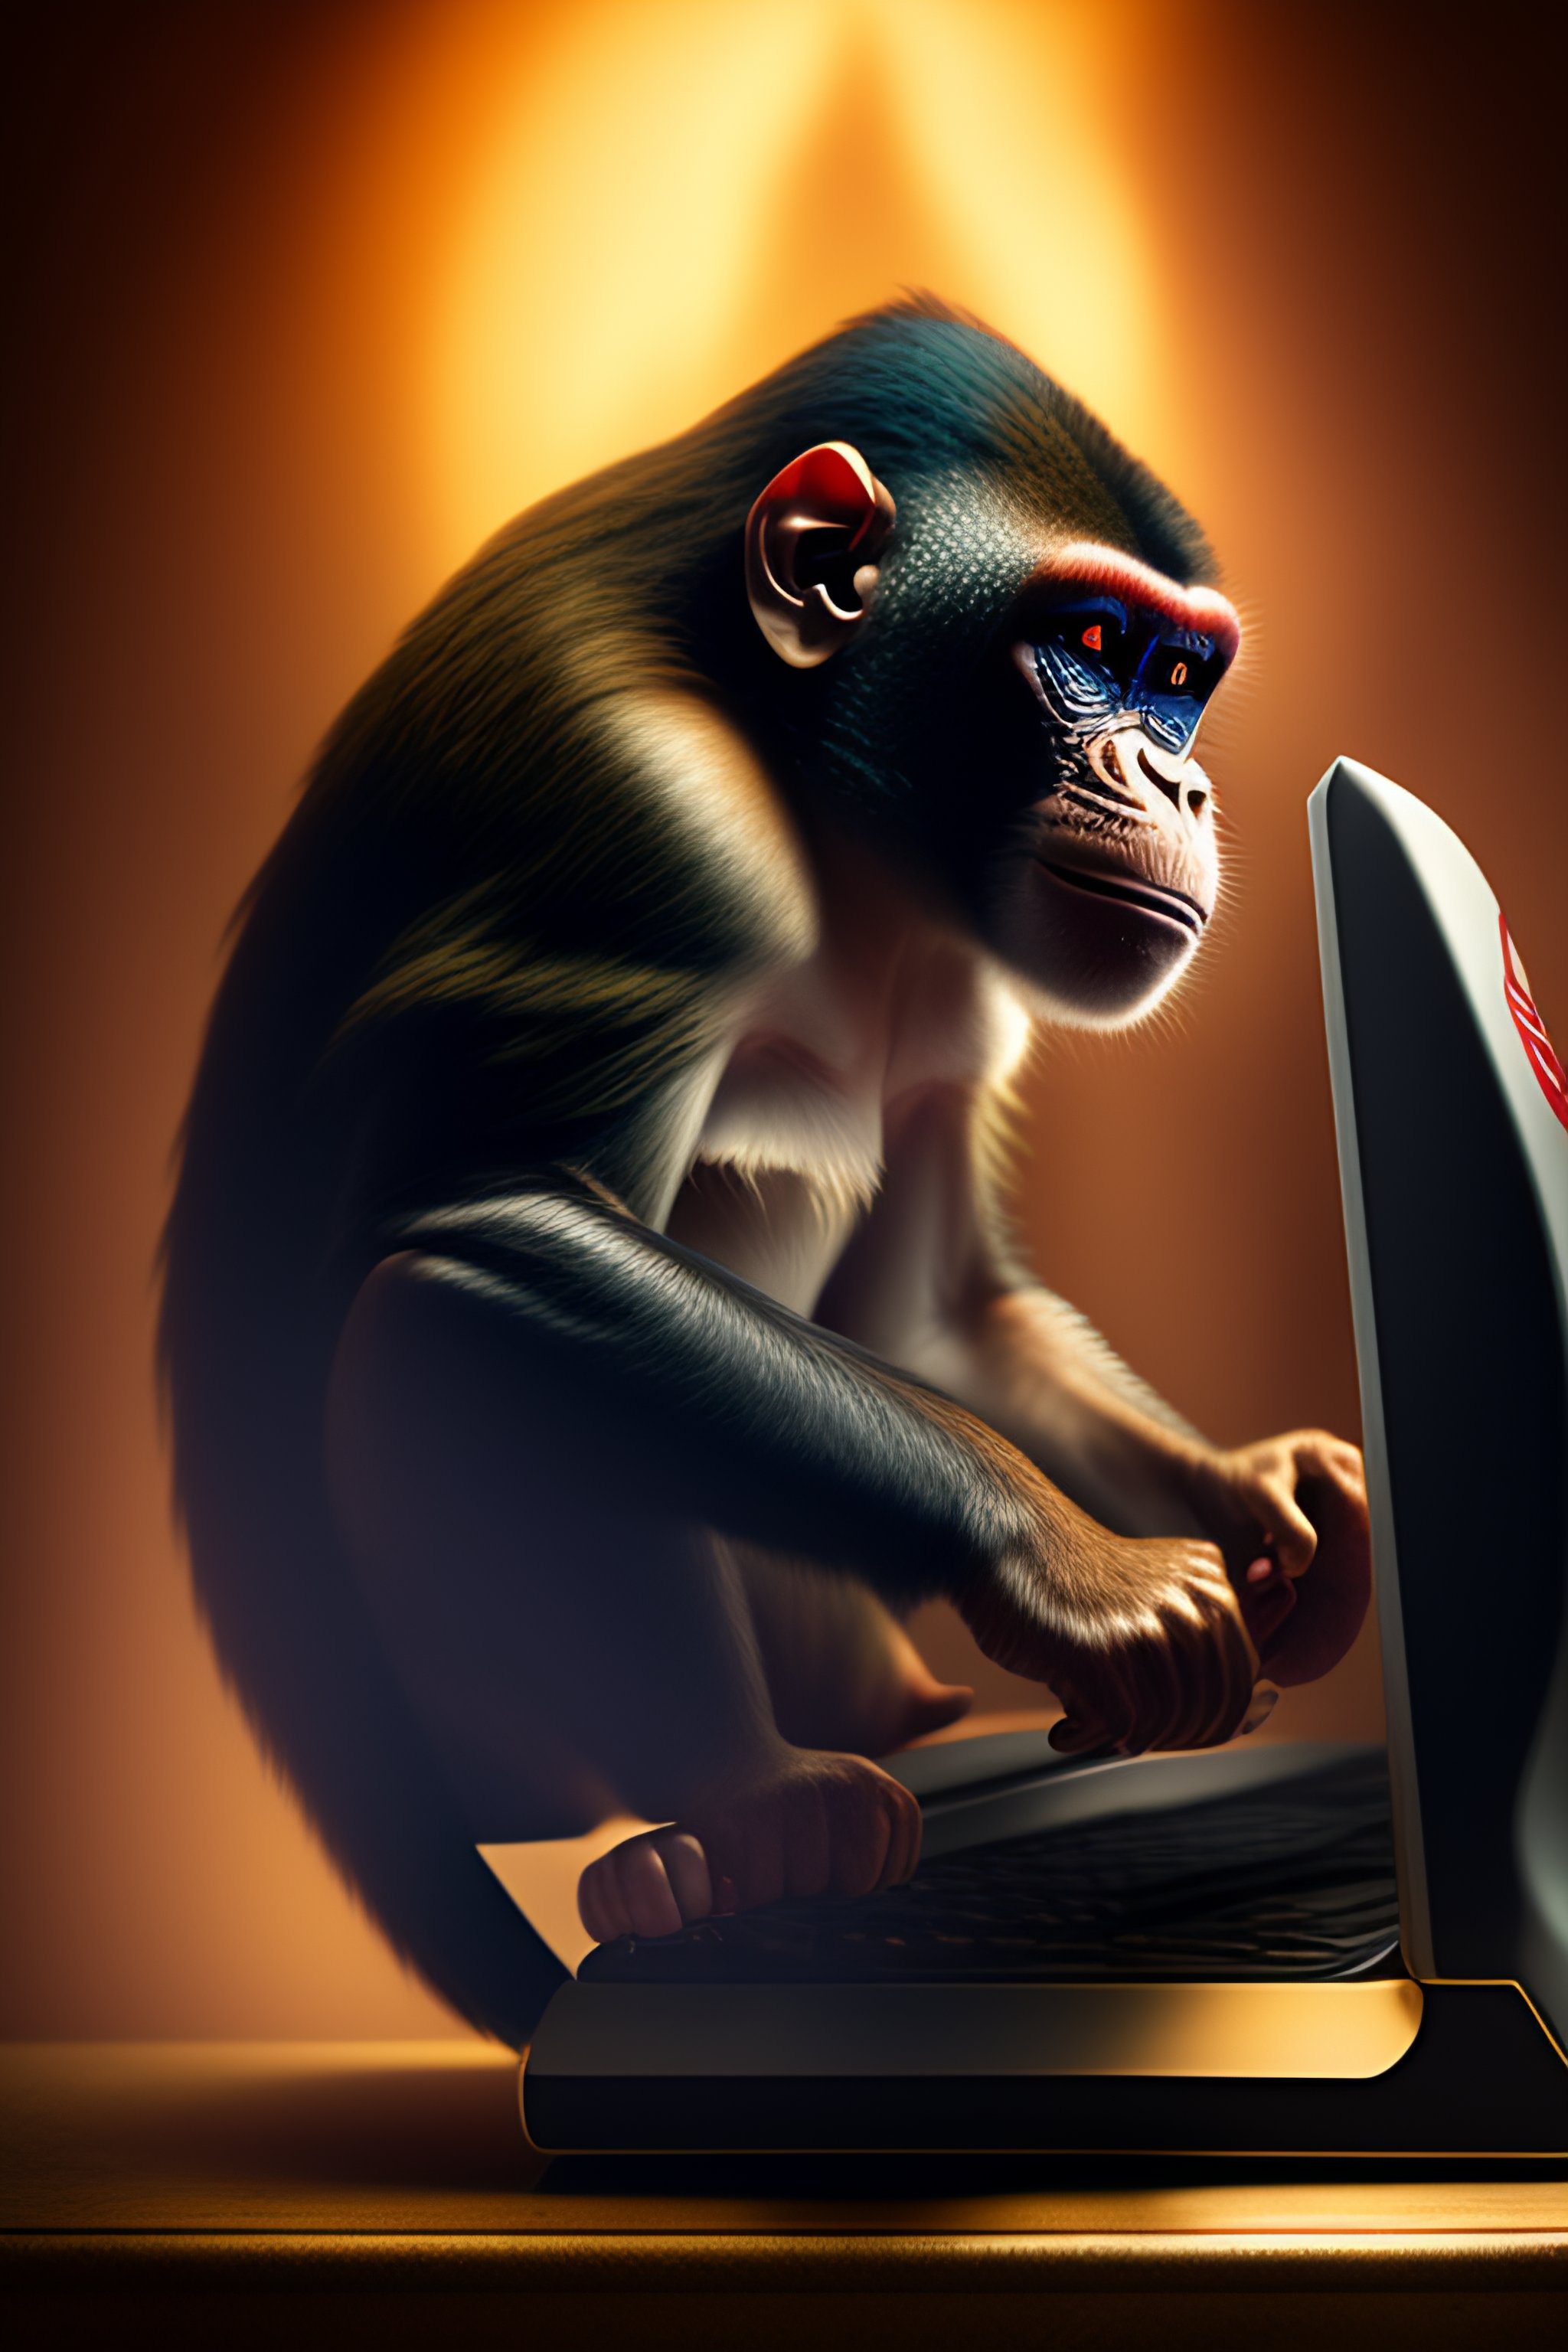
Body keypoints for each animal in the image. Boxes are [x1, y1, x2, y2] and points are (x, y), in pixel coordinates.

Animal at [159, 297, 1370, 2046]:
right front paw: (1073, 1570)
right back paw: (743, 1818)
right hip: (486, 1748)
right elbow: (498, 1212)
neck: (790, 752)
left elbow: (931, 1313)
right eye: (1088, 646)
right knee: (436, 1324)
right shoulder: (650, 805)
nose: (1180, 779)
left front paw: (1262, 1495)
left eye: (1180, 675)